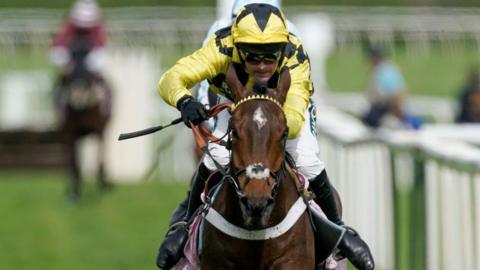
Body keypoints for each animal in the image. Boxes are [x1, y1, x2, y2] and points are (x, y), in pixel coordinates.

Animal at [54, 33, 113, 201]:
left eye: (89, 70)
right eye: (71, 63)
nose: (78, 94)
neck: (83, 107)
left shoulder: (99, 129)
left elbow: (99, 159)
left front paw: (102, 188)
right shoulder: (70, 132)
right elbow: (74, 163)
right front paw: (74, 194)